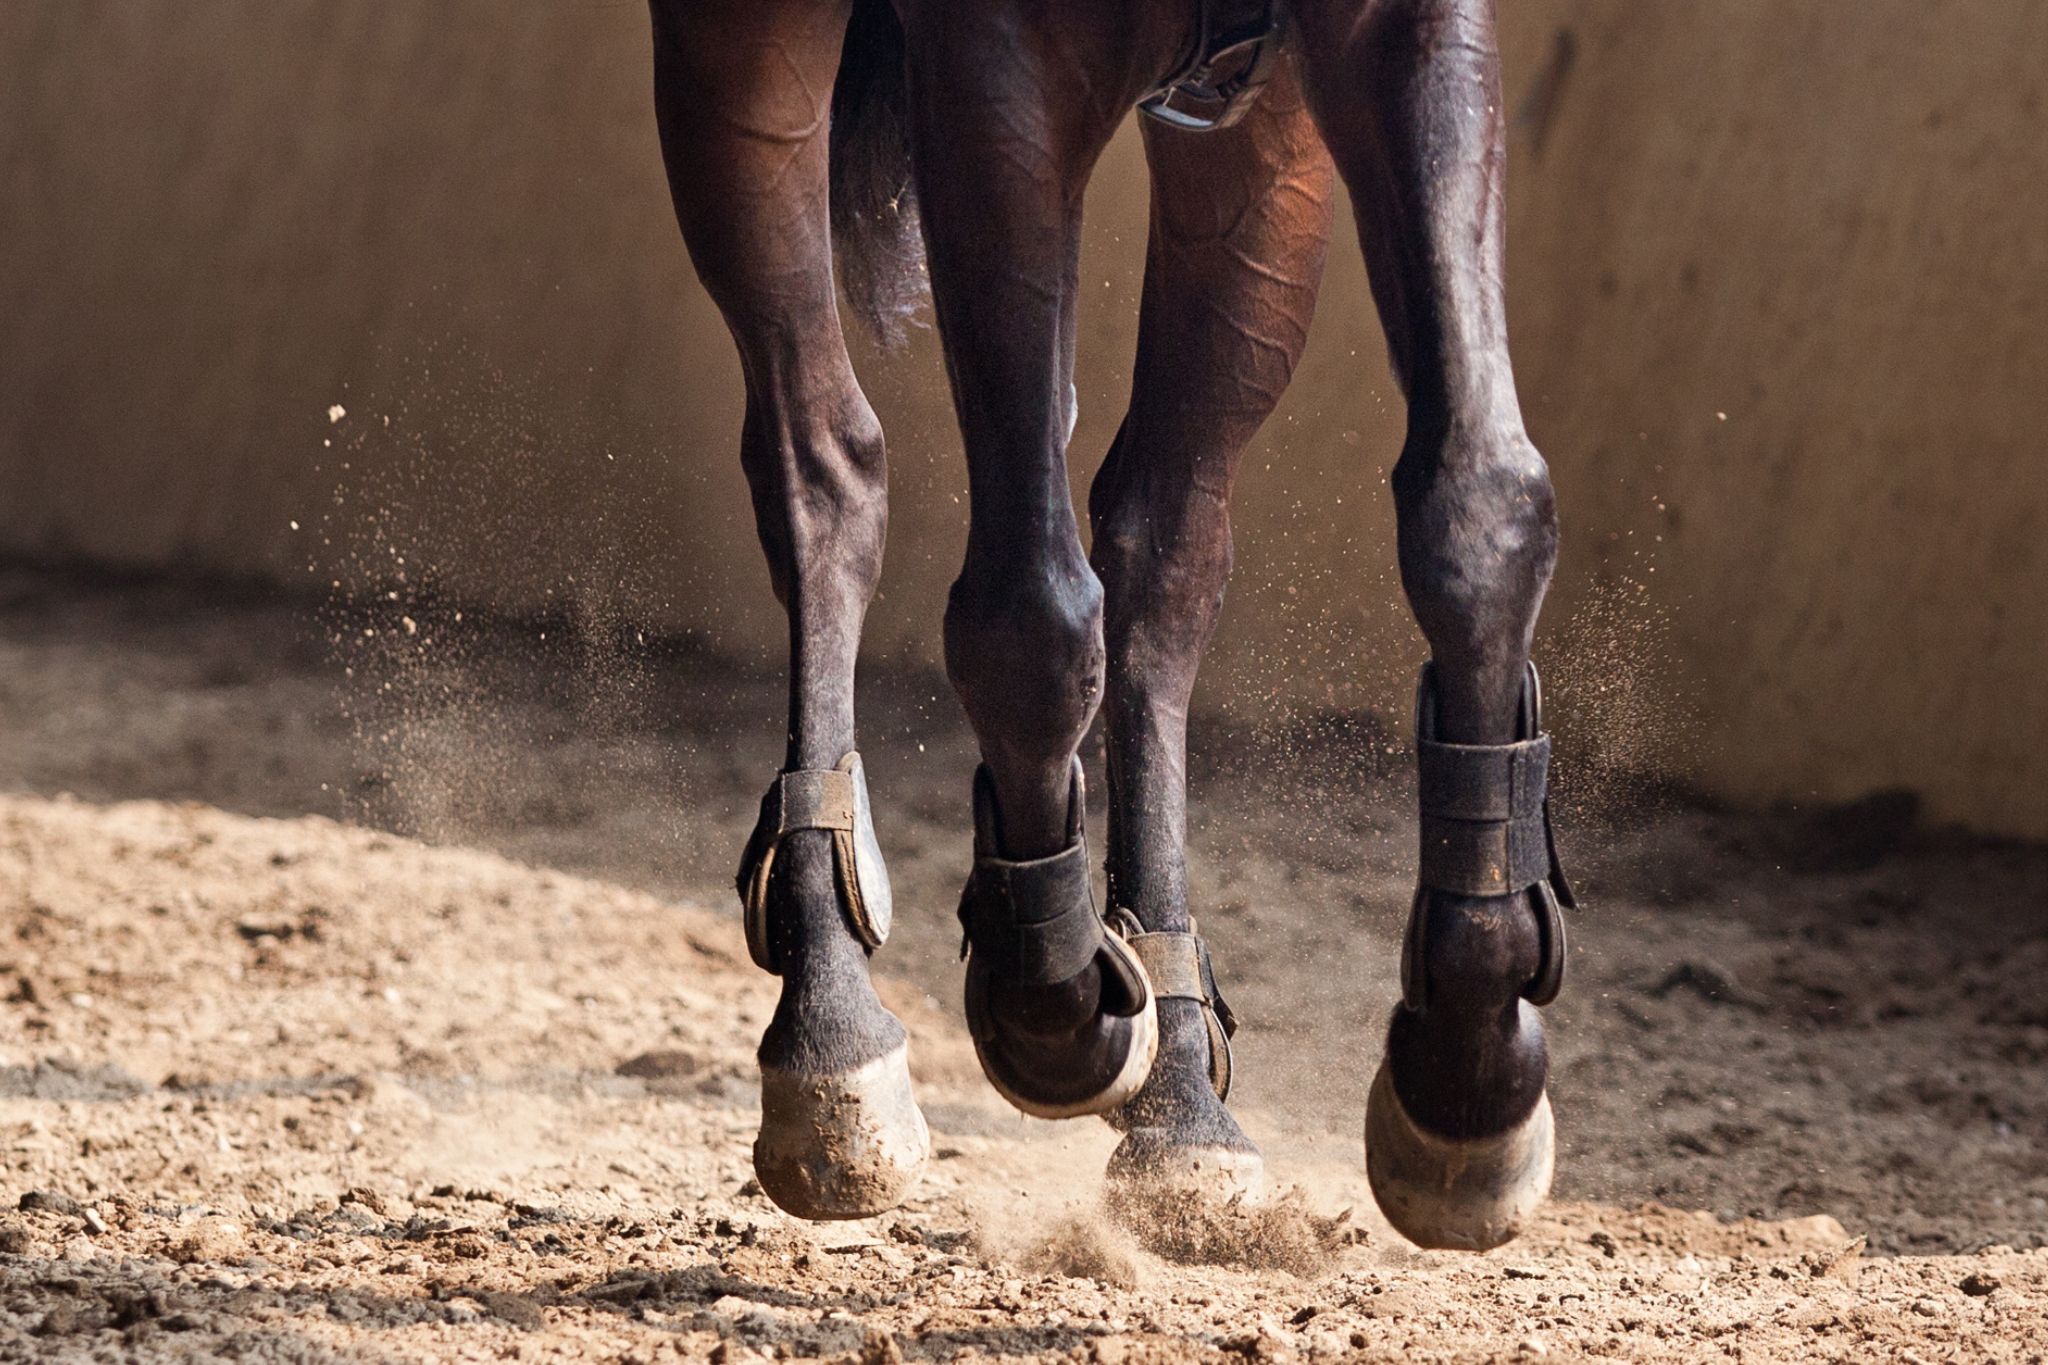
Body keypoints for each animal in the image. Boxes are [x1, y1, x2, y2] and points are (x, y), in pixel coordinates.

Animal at [649, 0, 1572, 1250]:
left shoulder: (1379, 38)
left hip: (1249, 155)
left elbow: (1479, 507)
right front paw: (1047, 1000)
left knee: (1160, 547)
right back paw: (834, 1039)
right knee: (824, 463)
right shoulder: (995, 71)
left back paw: (1178, 1094)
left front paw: (1469, 1071)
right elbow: (1026, 619)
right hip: (745, 51)